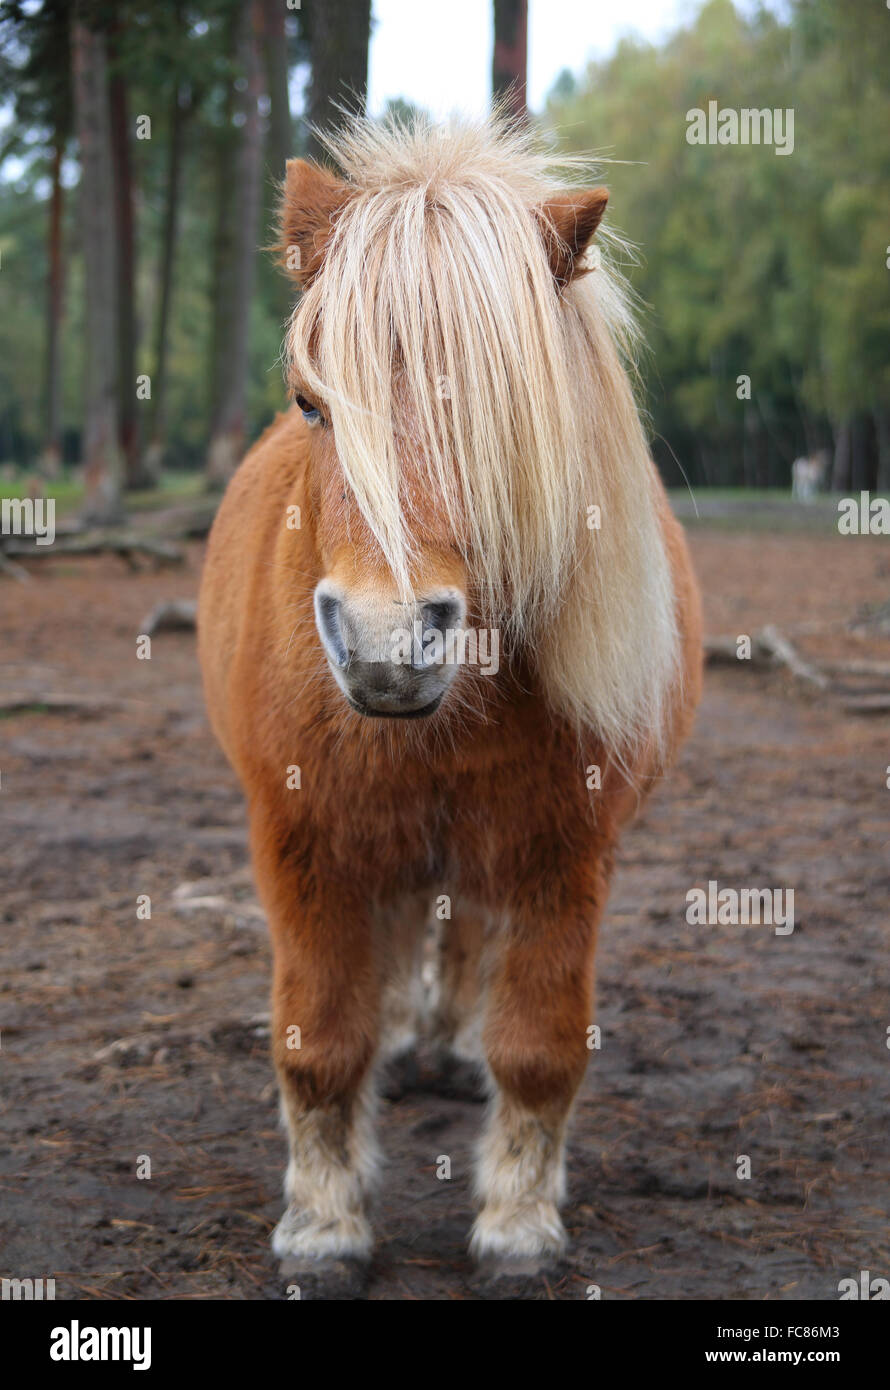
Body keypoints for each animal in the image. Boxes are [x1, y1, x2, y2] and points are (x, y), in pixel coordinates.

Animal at [198, 115, 702, 1277]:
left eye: (500, 415)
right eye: (310, 403)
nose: (386, 642)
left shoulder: (564, 851)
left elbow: (540, 1046)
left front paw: (517, 1222)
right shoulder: (303, 840)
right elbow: (319, 1041)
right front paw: (323, 1226)